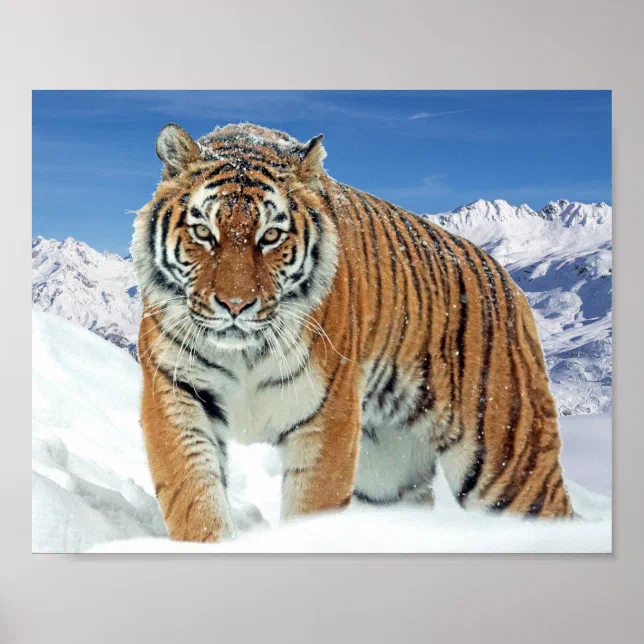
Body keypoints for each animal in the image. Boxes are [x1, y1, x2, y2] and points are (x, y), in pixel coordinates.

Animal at [131, 122, 573, 543]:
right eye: (204, 233)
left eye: (270, 236)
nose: (235, 305)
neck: (245, 353)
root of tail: (506, 278)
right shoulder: (175, 391)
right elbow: (194, 497)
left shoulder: (327, 413)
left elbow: (312, 506)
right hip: (388, 473)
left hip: (508, 459)